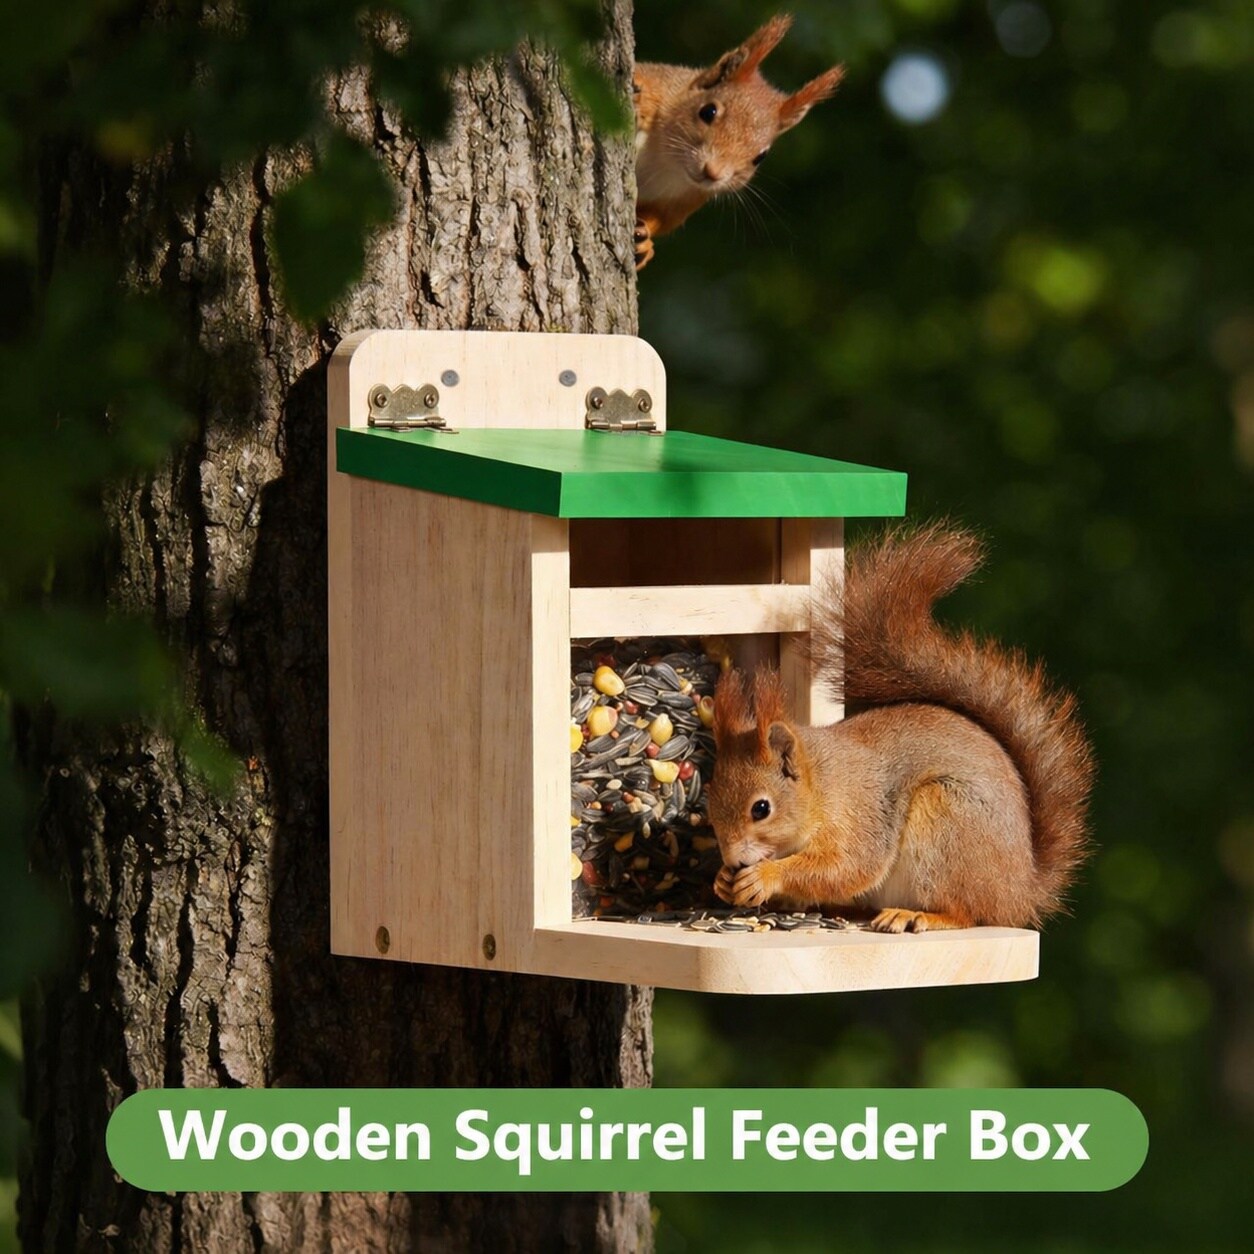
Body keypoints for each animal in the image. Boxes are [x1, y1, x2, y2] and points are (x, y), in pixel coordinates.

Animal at [633, 14, 844, 269]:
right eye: (708, 112)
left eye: (761, 157)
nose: (713, 173)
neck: (667, 161)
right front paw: (636, 93)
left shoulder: (685, 200)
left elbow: (660, 219)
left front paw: (645, 244)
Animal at [707, 523, 1094, 932]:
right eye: (710, 800)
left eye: (761, 808)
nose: (733, 860)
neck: (823, 787)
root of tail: (1019, 893)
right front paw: (722, 880)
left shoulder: (861, 816)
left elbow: (847, 866)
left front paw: (766, 876)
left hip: (947, 820)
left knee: (966, 912)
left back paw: (918, 915)